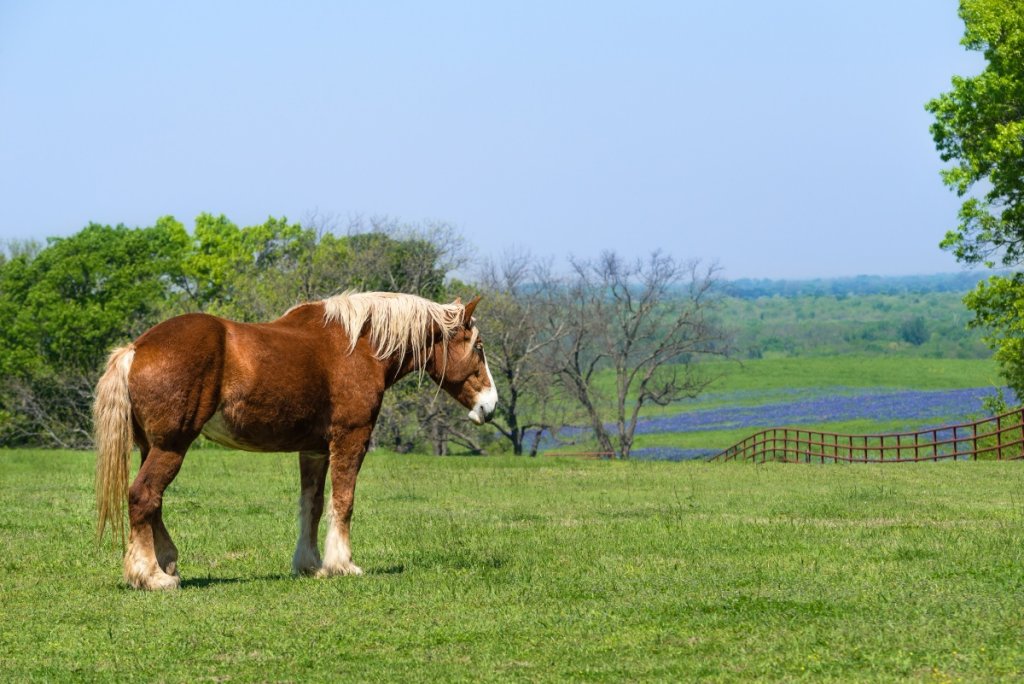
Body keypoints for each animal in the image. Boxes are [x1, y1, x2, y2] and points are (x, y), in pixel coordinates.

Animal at [93, 291, 497, 590]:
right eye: (478, 346)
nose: (490, 406)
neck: (360, 346)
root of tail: (135, 350)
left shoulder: (314, 449)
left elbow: (313, 505)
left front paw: (310, 564)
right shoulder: (351, 438)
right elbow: (343, 501)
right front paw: (342, 564)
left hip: (152, 447)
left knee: (153, 502)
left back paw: (166, 564)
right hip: (172, 446)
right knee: (143, 496)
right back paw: (151, 576)